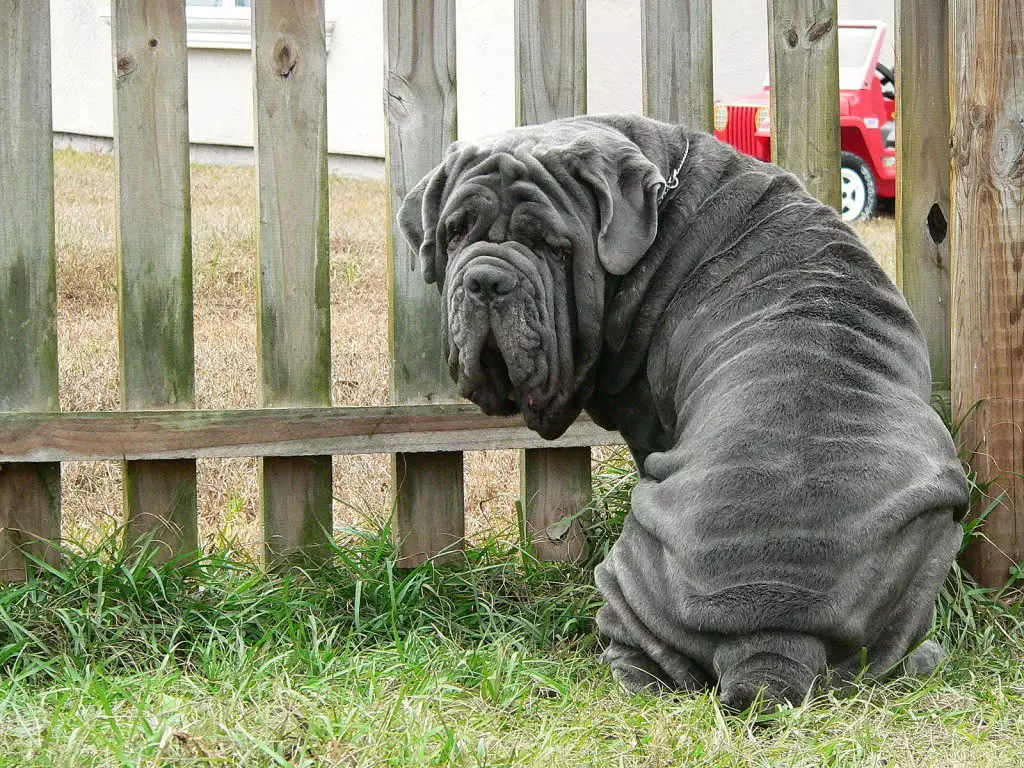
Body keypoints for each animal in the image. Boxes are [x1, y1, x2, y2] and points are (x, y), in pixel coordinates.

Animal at [399, 112, 966, 708]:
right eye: (455, 232)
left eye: (550, 245)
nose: (486, 279)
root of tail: (772, 639)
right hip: (933, 532)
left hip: (628, 573)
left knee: (641, 663)